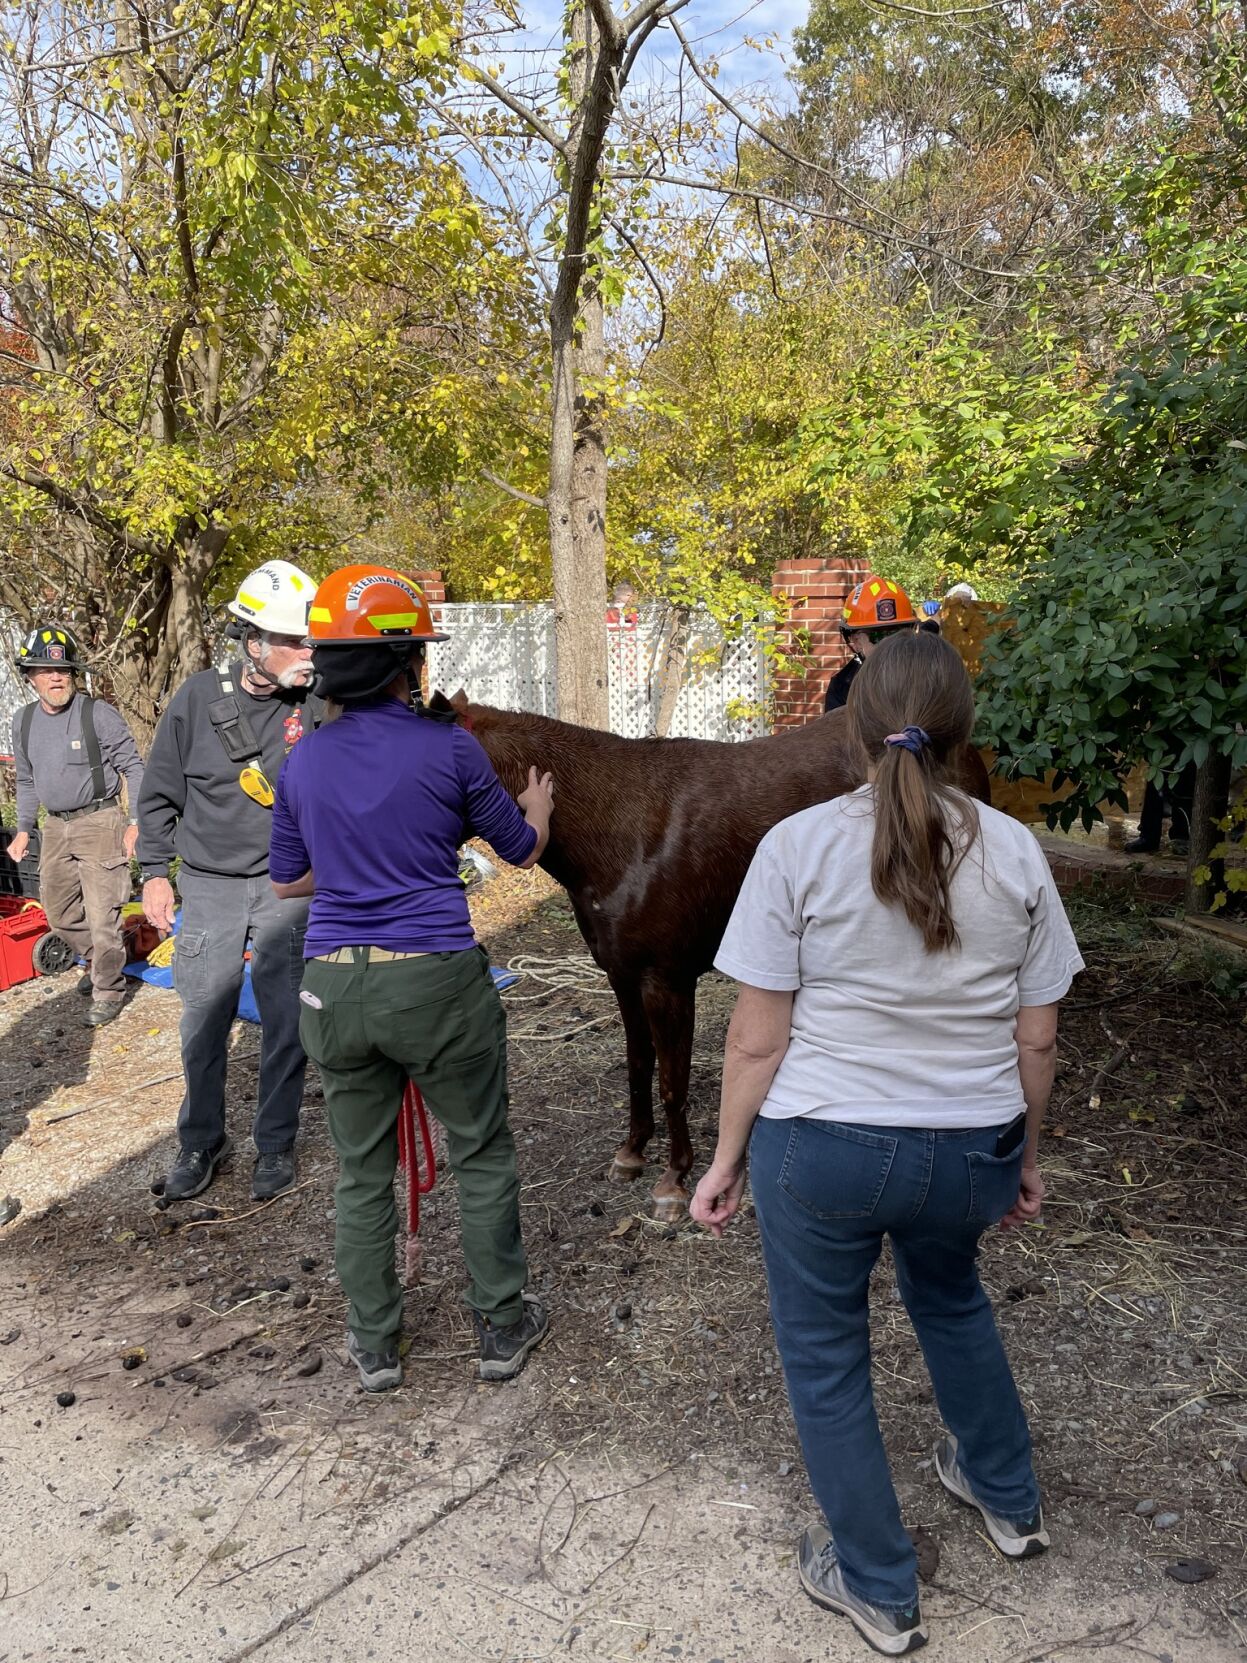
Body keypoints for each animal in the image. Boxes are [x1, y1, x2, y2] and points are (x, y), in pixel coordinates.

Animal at [437, 692, 992, 1217]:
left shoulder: (668, 982)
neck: (625, 829)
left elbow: (671, 1082)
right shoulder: (622, 976)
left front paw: (674, 1179)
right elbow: (638, 1066)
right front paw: (633, 1152)